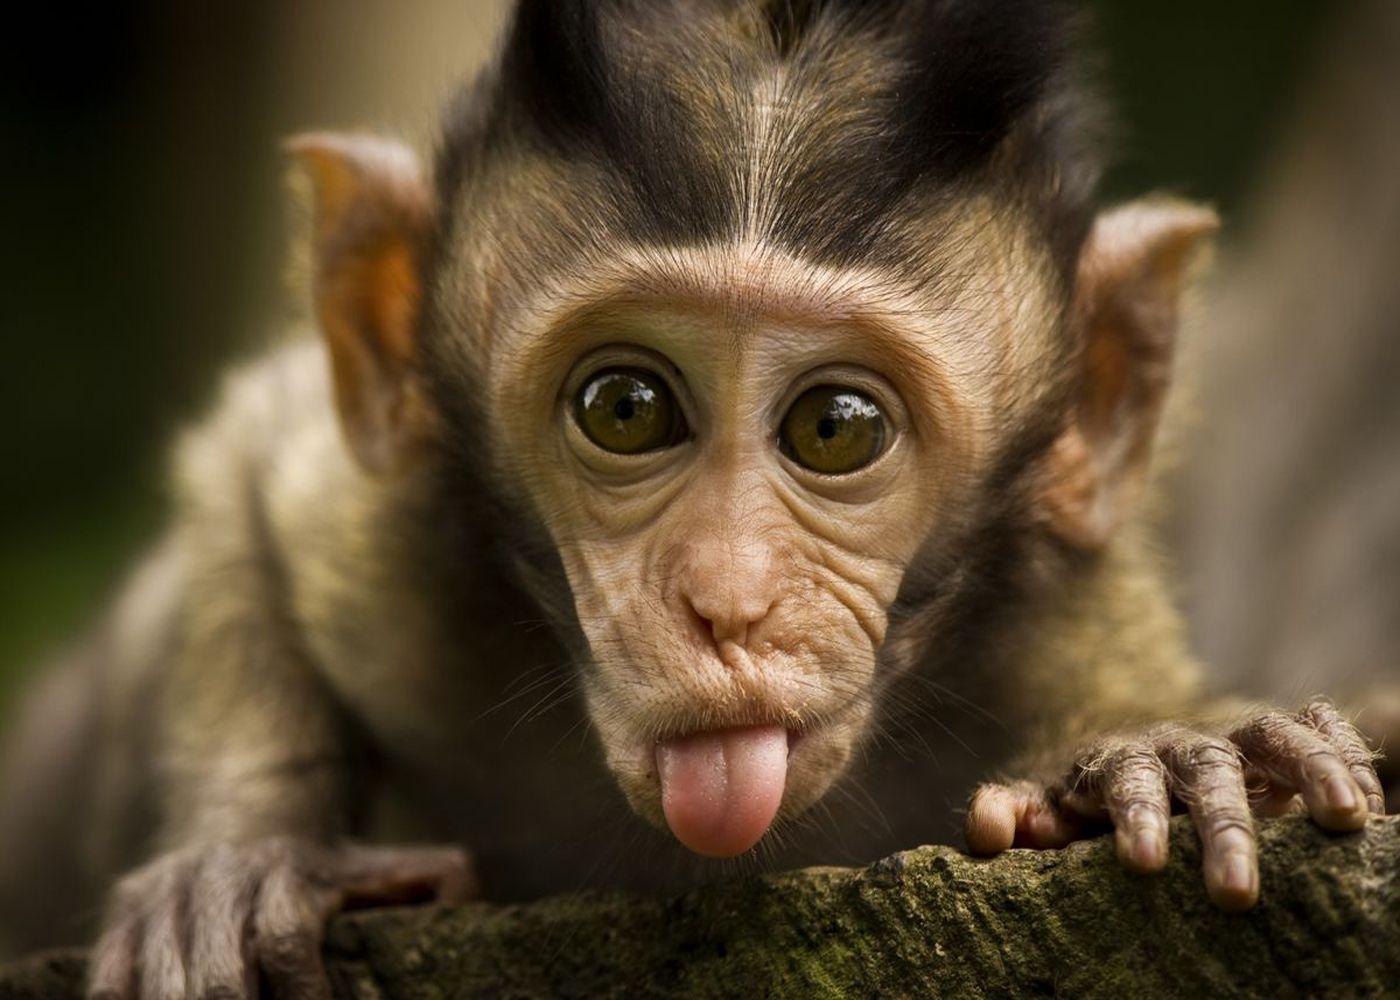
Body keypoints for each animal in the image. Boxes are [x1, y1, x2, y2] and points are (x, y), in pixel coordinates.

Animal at [0, 1, 1387, 997]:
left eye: (835, 428)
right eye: (625, 407)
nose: (726, 603)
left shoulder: (1058, 619)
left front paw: (1158, 751)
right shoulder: (386, 560)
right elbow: (249, 464)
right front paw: (243, 854)